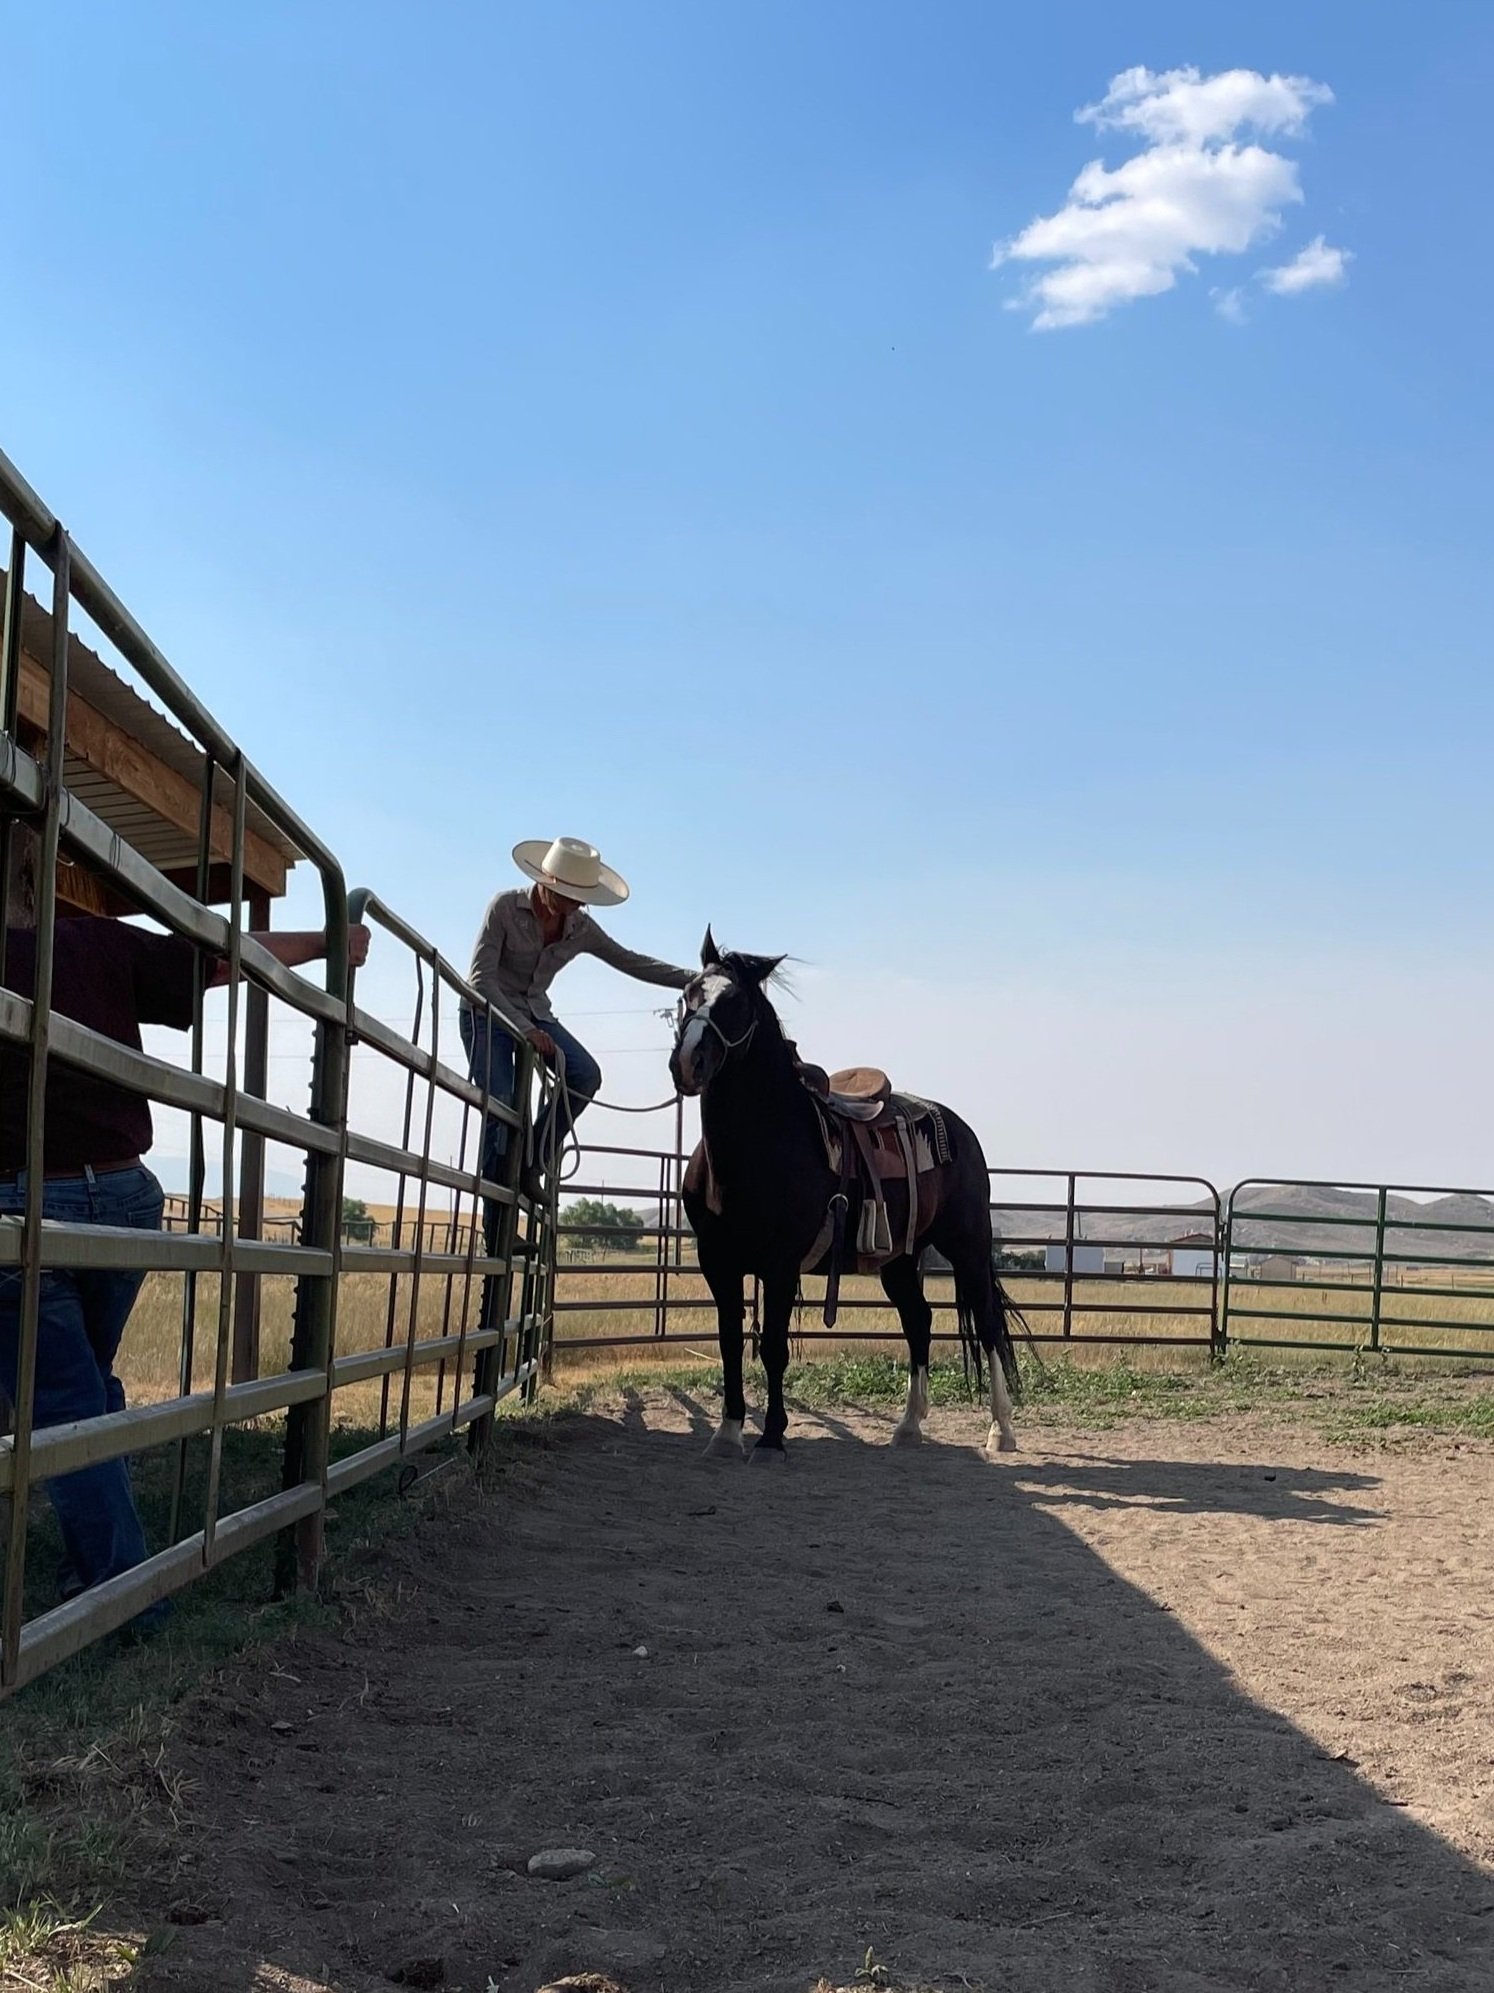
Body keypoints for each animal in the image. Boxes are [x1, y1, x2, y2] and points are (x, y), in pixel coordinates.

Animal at [669, 931, 1022, 1462]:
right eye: (688, 994)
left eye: (736, 1002)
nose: (687, 1064)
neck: (760, 1144)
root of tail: (960, 1130)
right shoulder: (718, 1261)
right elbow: (731, 1342)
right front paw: (727, 1433)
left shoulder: (780, 1262)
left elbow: (773, 1347)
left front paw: (771, 1439)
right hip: (900, 1260)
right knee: (919, 1321)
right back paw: (908, 1427)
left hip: (969, 1248)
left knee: (988, 1325)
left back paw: (1000, 1429)